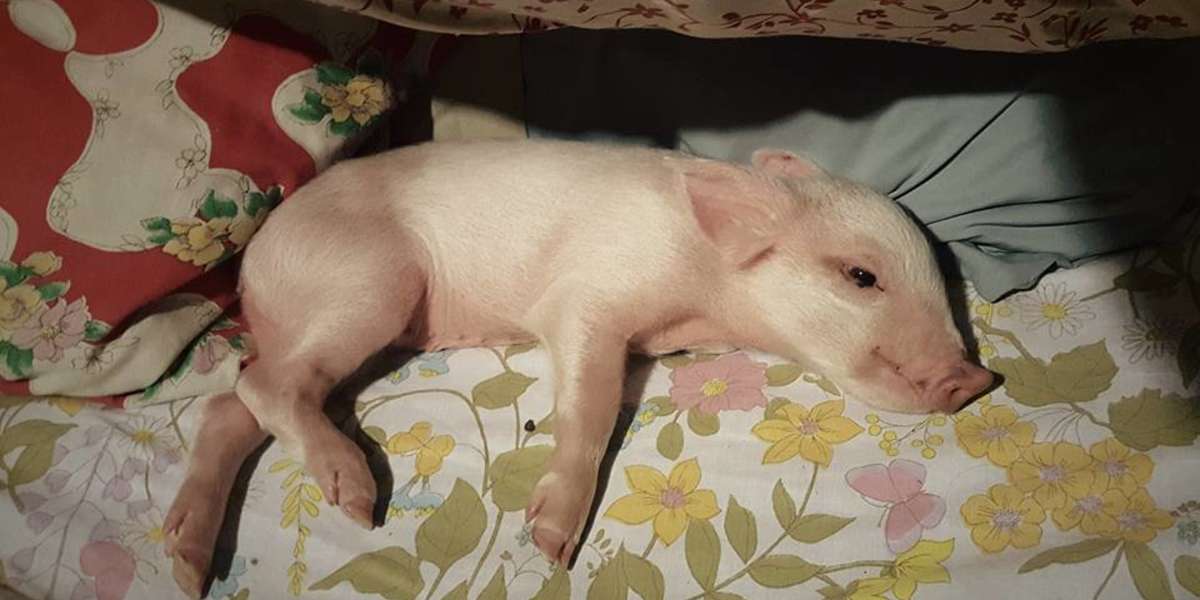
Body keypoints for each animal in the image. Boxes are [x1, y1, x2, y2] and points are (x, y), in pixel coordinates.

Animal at [162, 139, 993, 597]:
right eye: (861, 276)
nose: (976, 381)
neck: (707, 301)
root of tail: (253, 272)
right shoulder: (586, 297)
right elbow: (591, 402)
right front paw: (552, 545)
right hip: (368, 284)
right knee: (259, 384)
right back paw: (359, 503)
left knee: (232, 404)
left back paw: (187, 567)